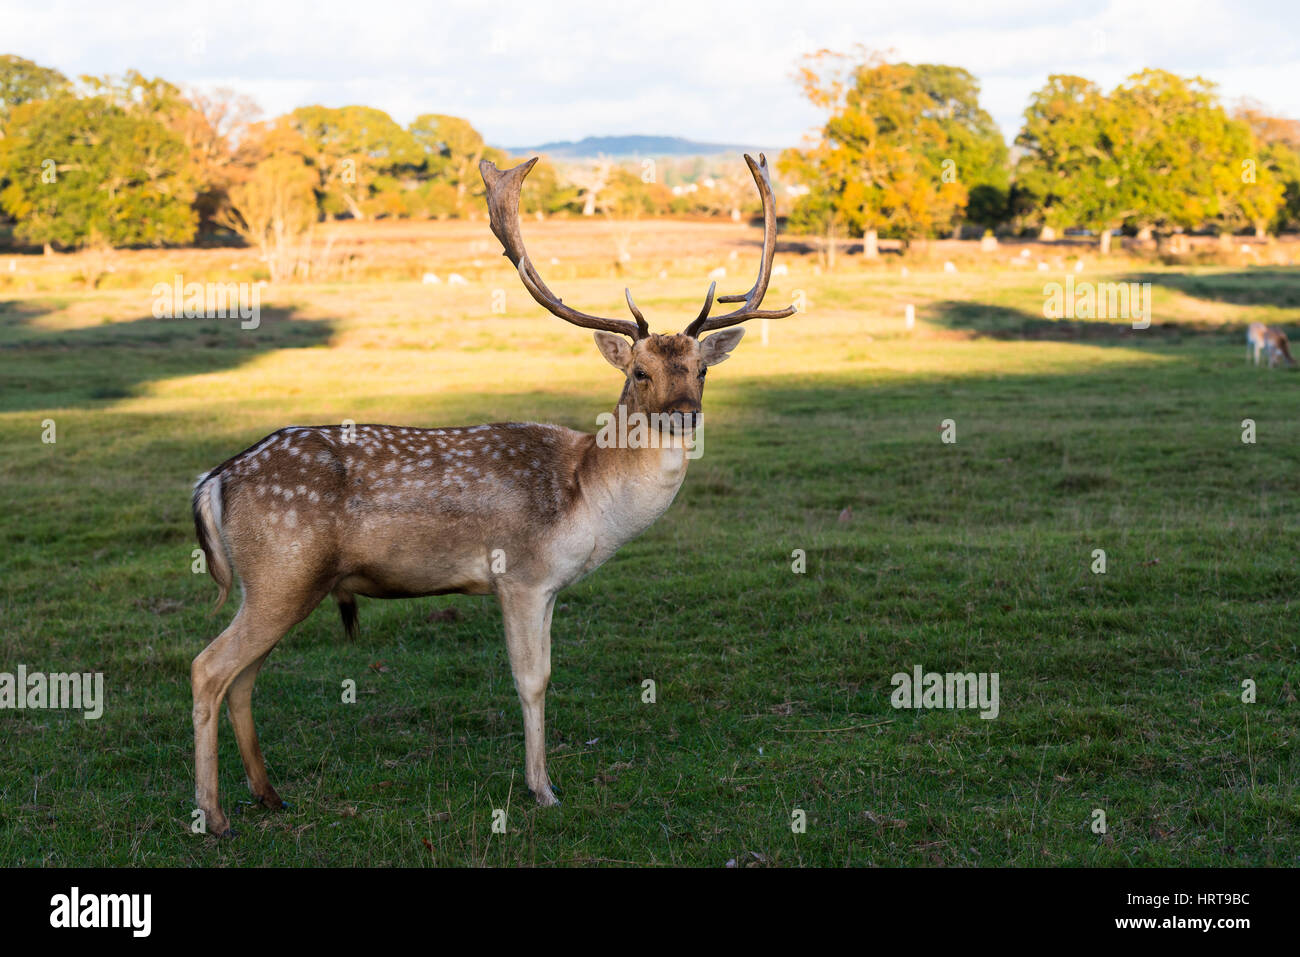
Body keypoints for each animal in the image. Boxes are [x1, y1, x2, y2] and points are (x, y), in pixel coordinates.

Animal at [189, 154, 794, 836]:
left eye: (702, 369)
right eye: (640, 371)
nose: (685, 414)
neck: (588, 498)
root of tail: (214, 481)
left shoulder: (550, 586)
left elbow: (544, 675)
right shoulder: (522, 575)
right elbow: (532, 681)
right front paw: (543, 789)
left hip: (279, 583)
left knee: (242, 677)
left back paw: (269, 795)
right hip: (283, 572)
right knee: (208, 669)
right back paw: (212, 815)